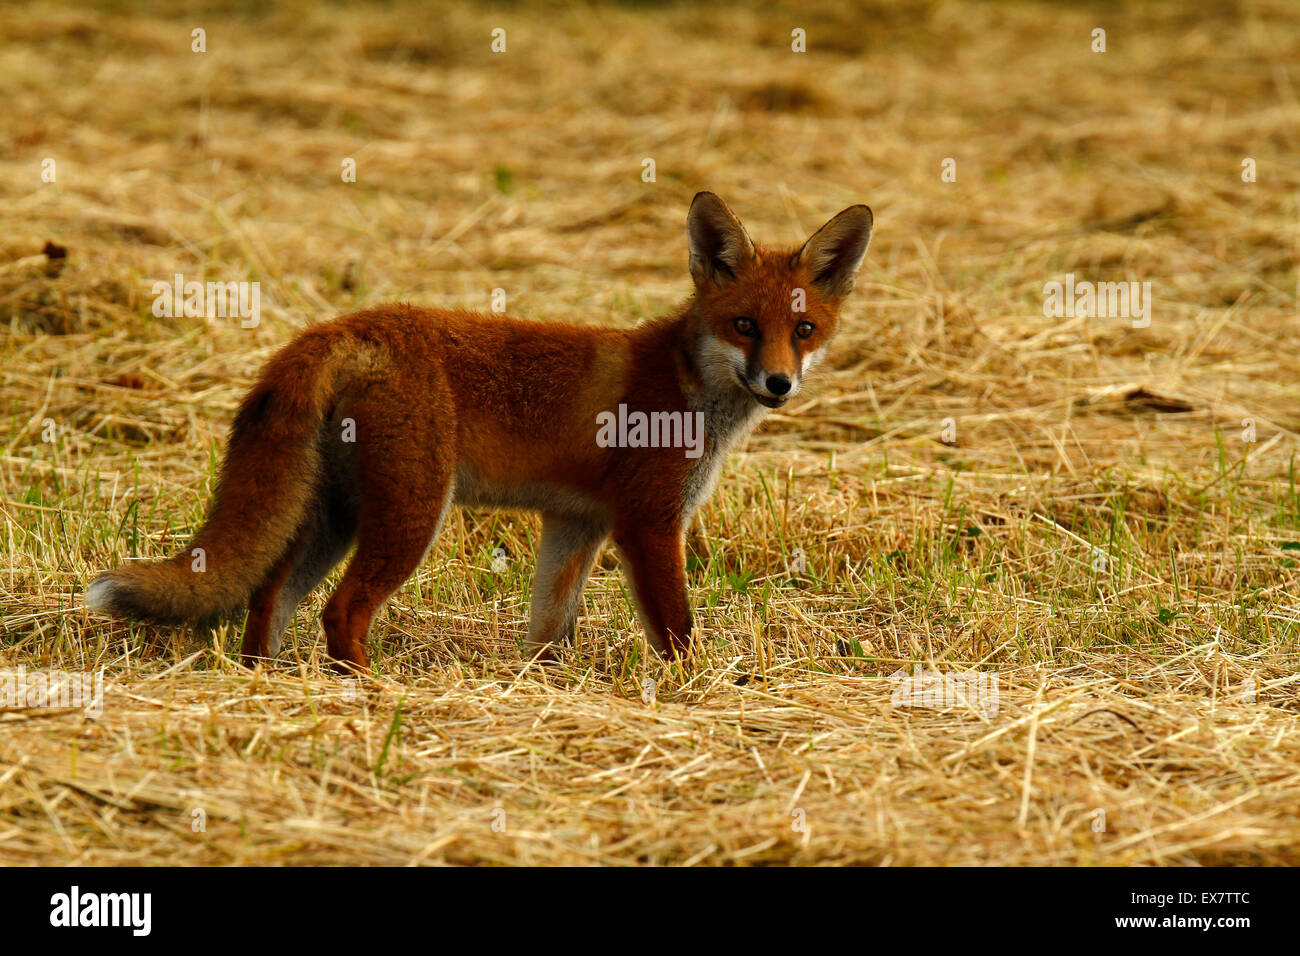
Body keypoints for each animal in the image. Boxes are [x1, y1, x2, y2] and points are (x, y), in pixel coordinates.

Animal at [85, 192, 873, 672]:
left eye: (803, 330)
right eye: (744, 325)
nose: (779, 384)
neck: (688, 385)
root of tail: (343, 326)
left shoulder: (576, 525)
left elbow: (548, 631)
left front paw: (548, 687)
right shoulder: (649, 523)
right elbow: (676, 632)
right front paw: (695, 691)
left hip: (336, 516)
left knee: (271, 594)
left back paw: (266, 683)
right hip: (412, 514)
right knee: (342, 610)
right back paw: (369, 691)